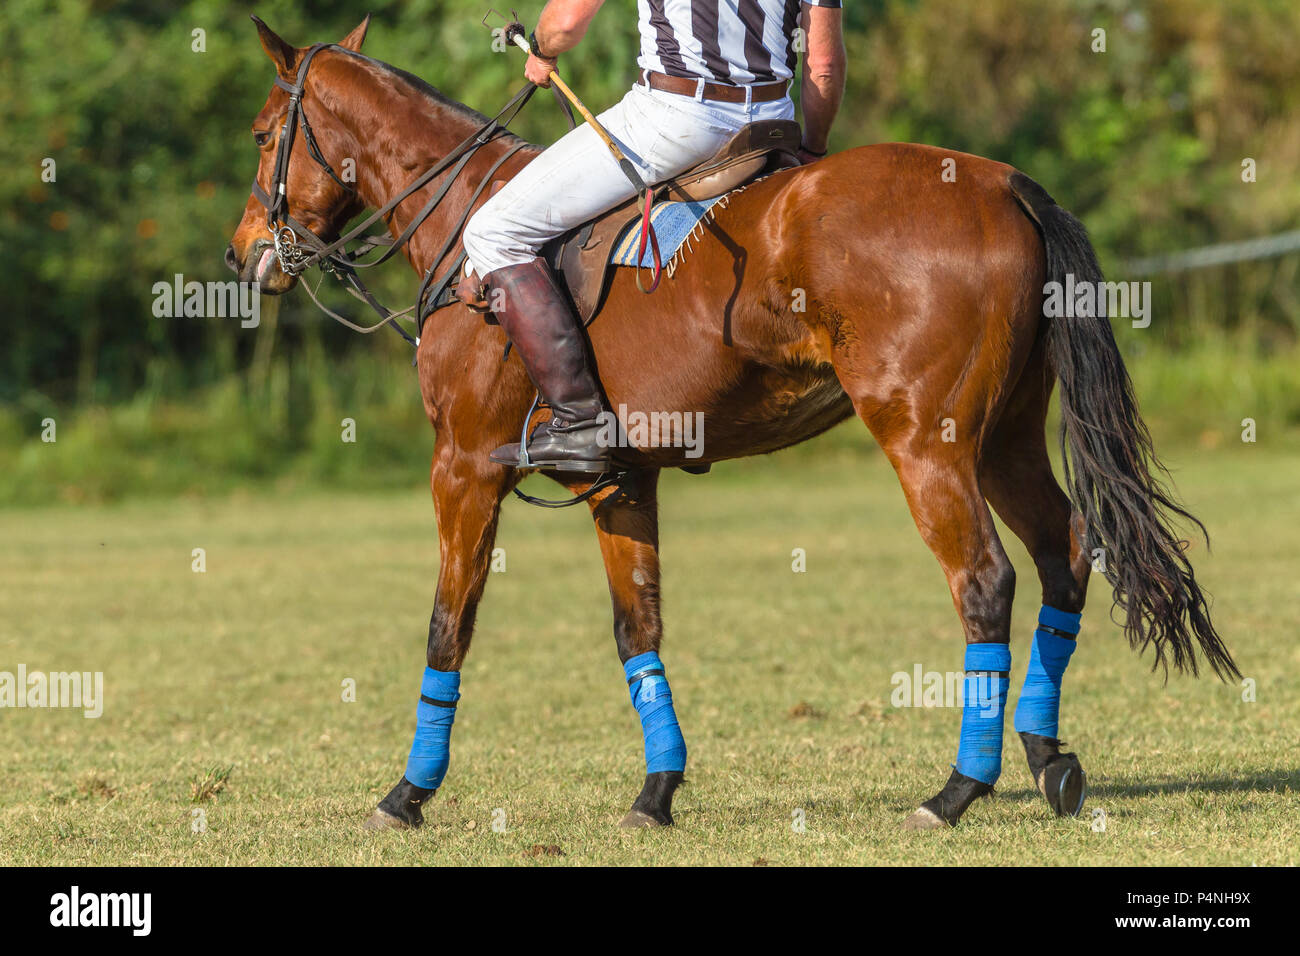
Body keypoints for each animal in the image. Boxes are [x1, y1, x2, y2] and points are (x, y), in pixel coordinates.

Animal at [225, 17, 1237, 832]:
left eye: (267, 134)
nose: (244, 256)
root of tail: (1008, 186)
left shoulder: (464, 464)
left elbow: (447, 626)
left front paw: (406, 796)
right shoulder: (620, 477)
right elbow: (638, 628)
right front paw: (656, 794)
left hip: (925, 438)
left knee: (985, 580)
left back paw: (956, 791)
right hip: (1007, 432)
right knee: (1065, 550)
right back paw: (1047, 760)